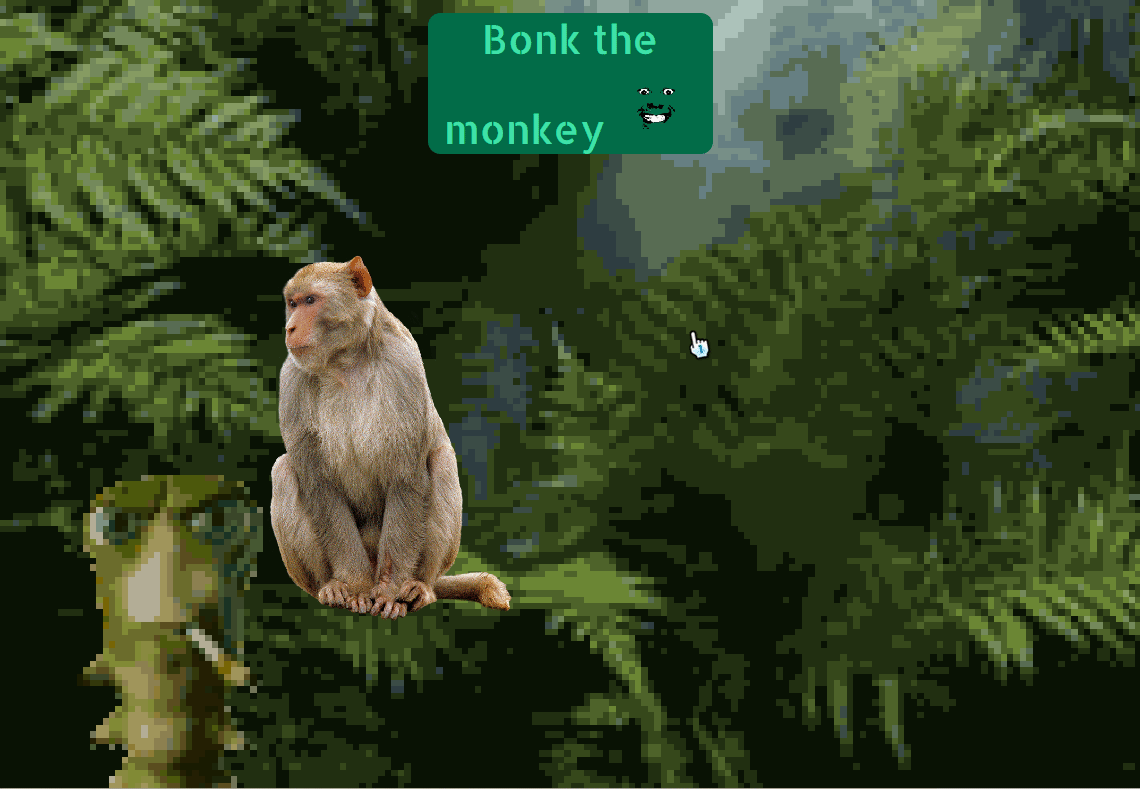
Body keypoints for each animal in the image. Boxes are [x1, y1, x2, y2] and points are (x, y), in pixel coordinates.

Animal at [270, 255, 511, 619]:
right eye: (293, 303)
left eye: (310, 300)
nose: (290, 328)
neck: (346, 361)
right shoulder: (291, 379)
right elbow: (319, 483)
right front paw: (354, 587)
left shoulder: (404, 367)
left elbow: (406, 477)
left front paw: (388, 592)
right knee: (284, 471)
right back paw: (332, 588)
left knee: (440, 462)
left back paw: (418, 589)